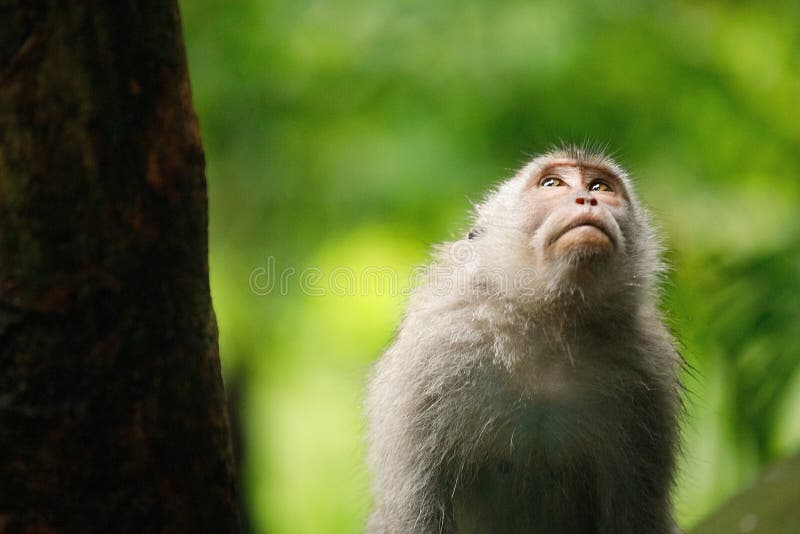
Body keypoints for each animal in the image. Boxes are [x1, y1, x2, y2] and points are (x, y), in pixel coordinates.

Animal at [365, 146, 683, 533]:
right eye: (552, 184)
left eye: (600, 186)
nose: (588, 198)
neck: (549, 329)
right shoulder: (432, 355)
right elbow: (415, 512)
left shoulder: (648, 373)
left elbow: (636, 516)